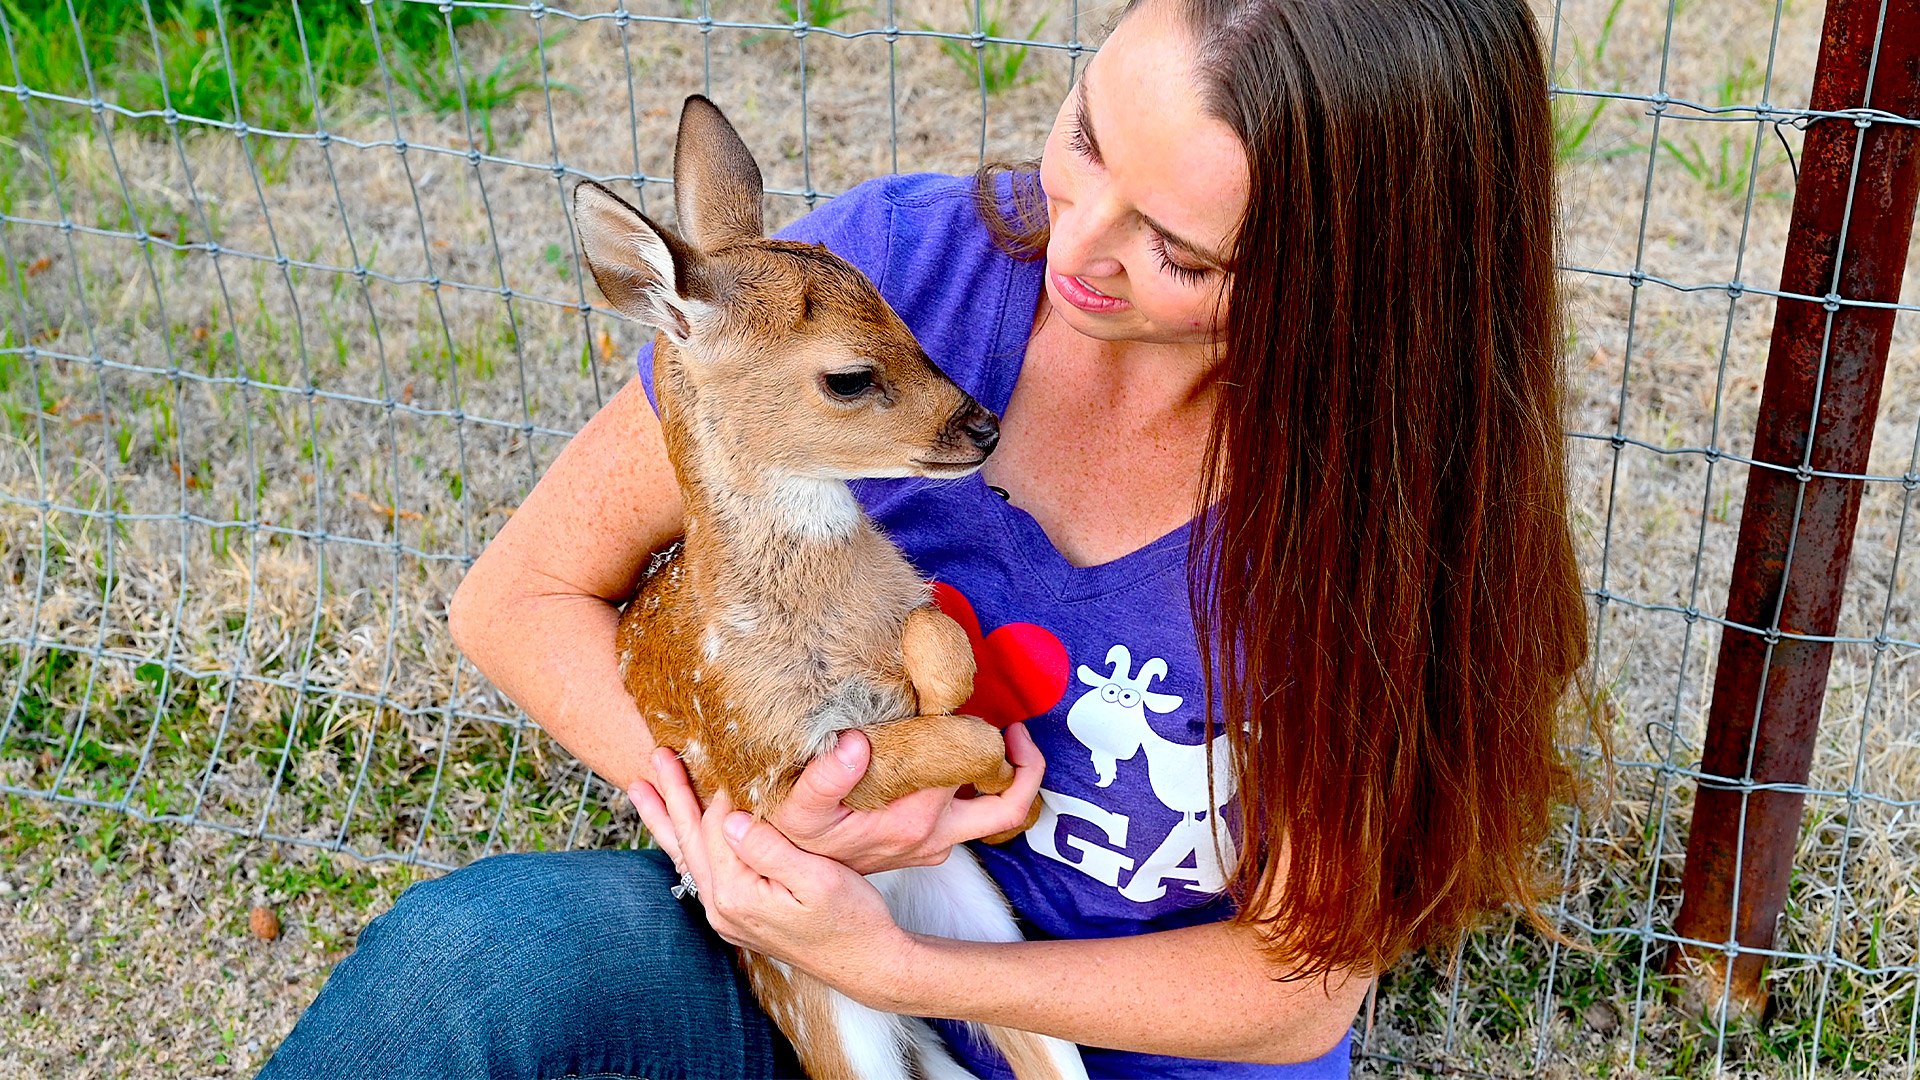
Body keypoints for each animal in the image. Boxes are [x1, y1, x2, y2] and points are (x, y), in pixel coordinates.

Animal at [572, 95, 1087, 1080]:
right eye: (848, 376)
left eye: (902, 311)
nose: (984, 427)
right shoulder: (771, 767)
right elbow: (947, 733)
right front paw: (1007, 780)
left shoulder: (907, 617)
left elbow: (941, 644)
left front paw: (1012, 796)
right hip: (816, 1000)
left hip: (978, 931)